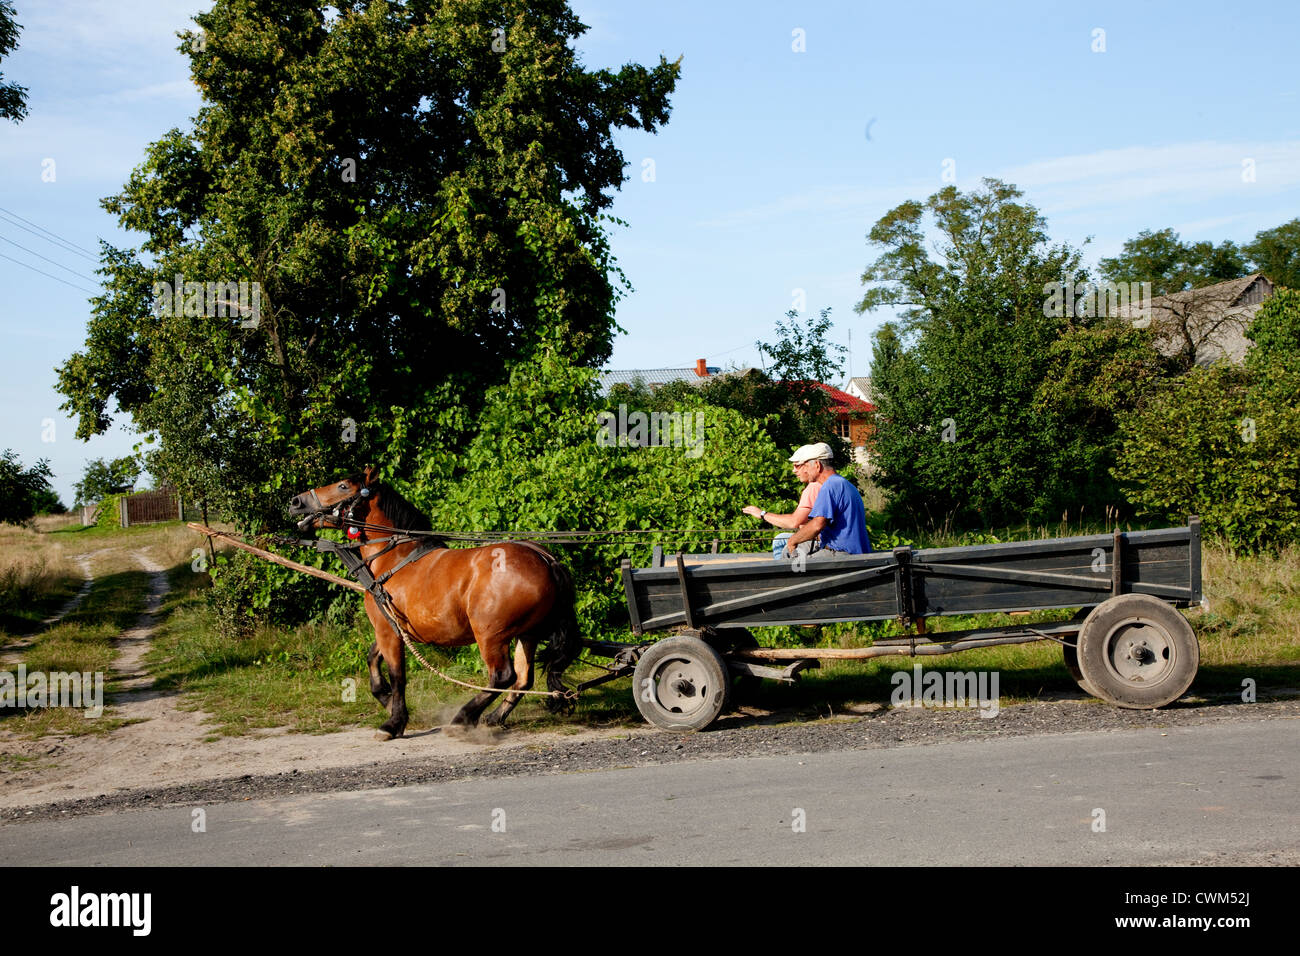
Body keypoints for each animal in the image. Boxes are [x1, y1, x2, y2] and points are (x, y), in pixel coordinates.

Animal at [287, 467, 581, 740]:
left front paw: (393, 723)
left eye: (343, 486)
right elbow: (373, 659)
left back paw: (463, 718)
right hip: (527, 633)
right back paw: (494, 718)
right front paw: (386, 701)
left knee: (502, 676)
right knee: (522, 679)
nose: (296, 501)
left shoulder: (387, 630)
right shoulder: (391, 626)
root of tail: (546, 560)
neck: (395, 558)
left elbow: (398, 676)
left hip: (491, 635)